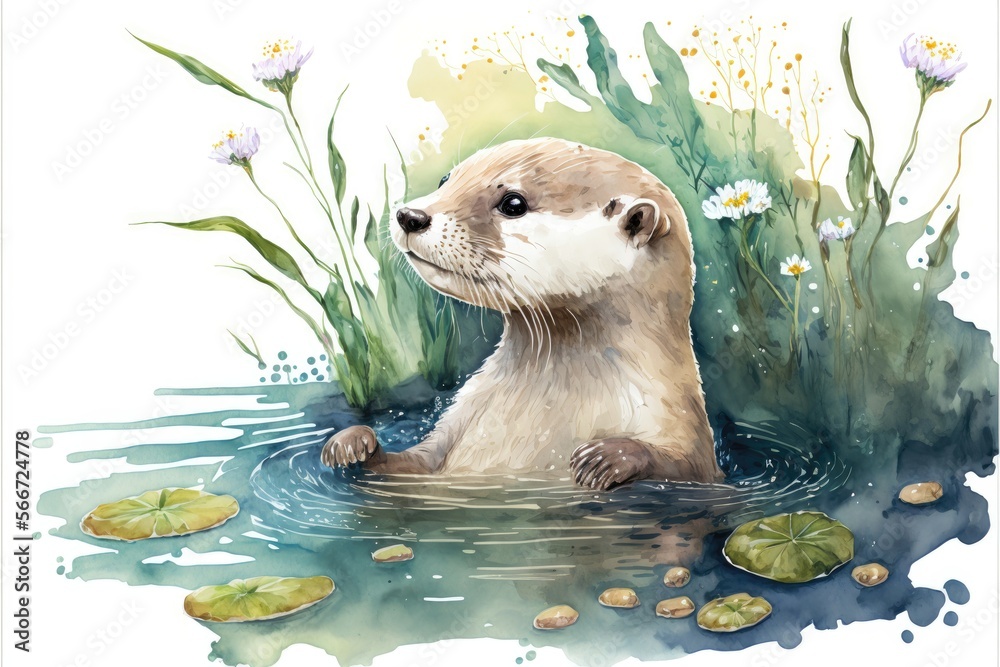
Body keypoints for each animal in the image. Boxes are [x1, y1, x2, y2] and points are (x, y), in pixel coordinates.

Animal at [320, 138, 722, 490]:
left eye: (513, 203)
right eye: (446, 179)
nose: (410, 215)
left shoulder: (679, 423)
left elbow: (686, 466)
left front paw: (609, 458)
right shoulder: (456, 423)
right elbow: (411, 463)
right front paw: (353, 443)